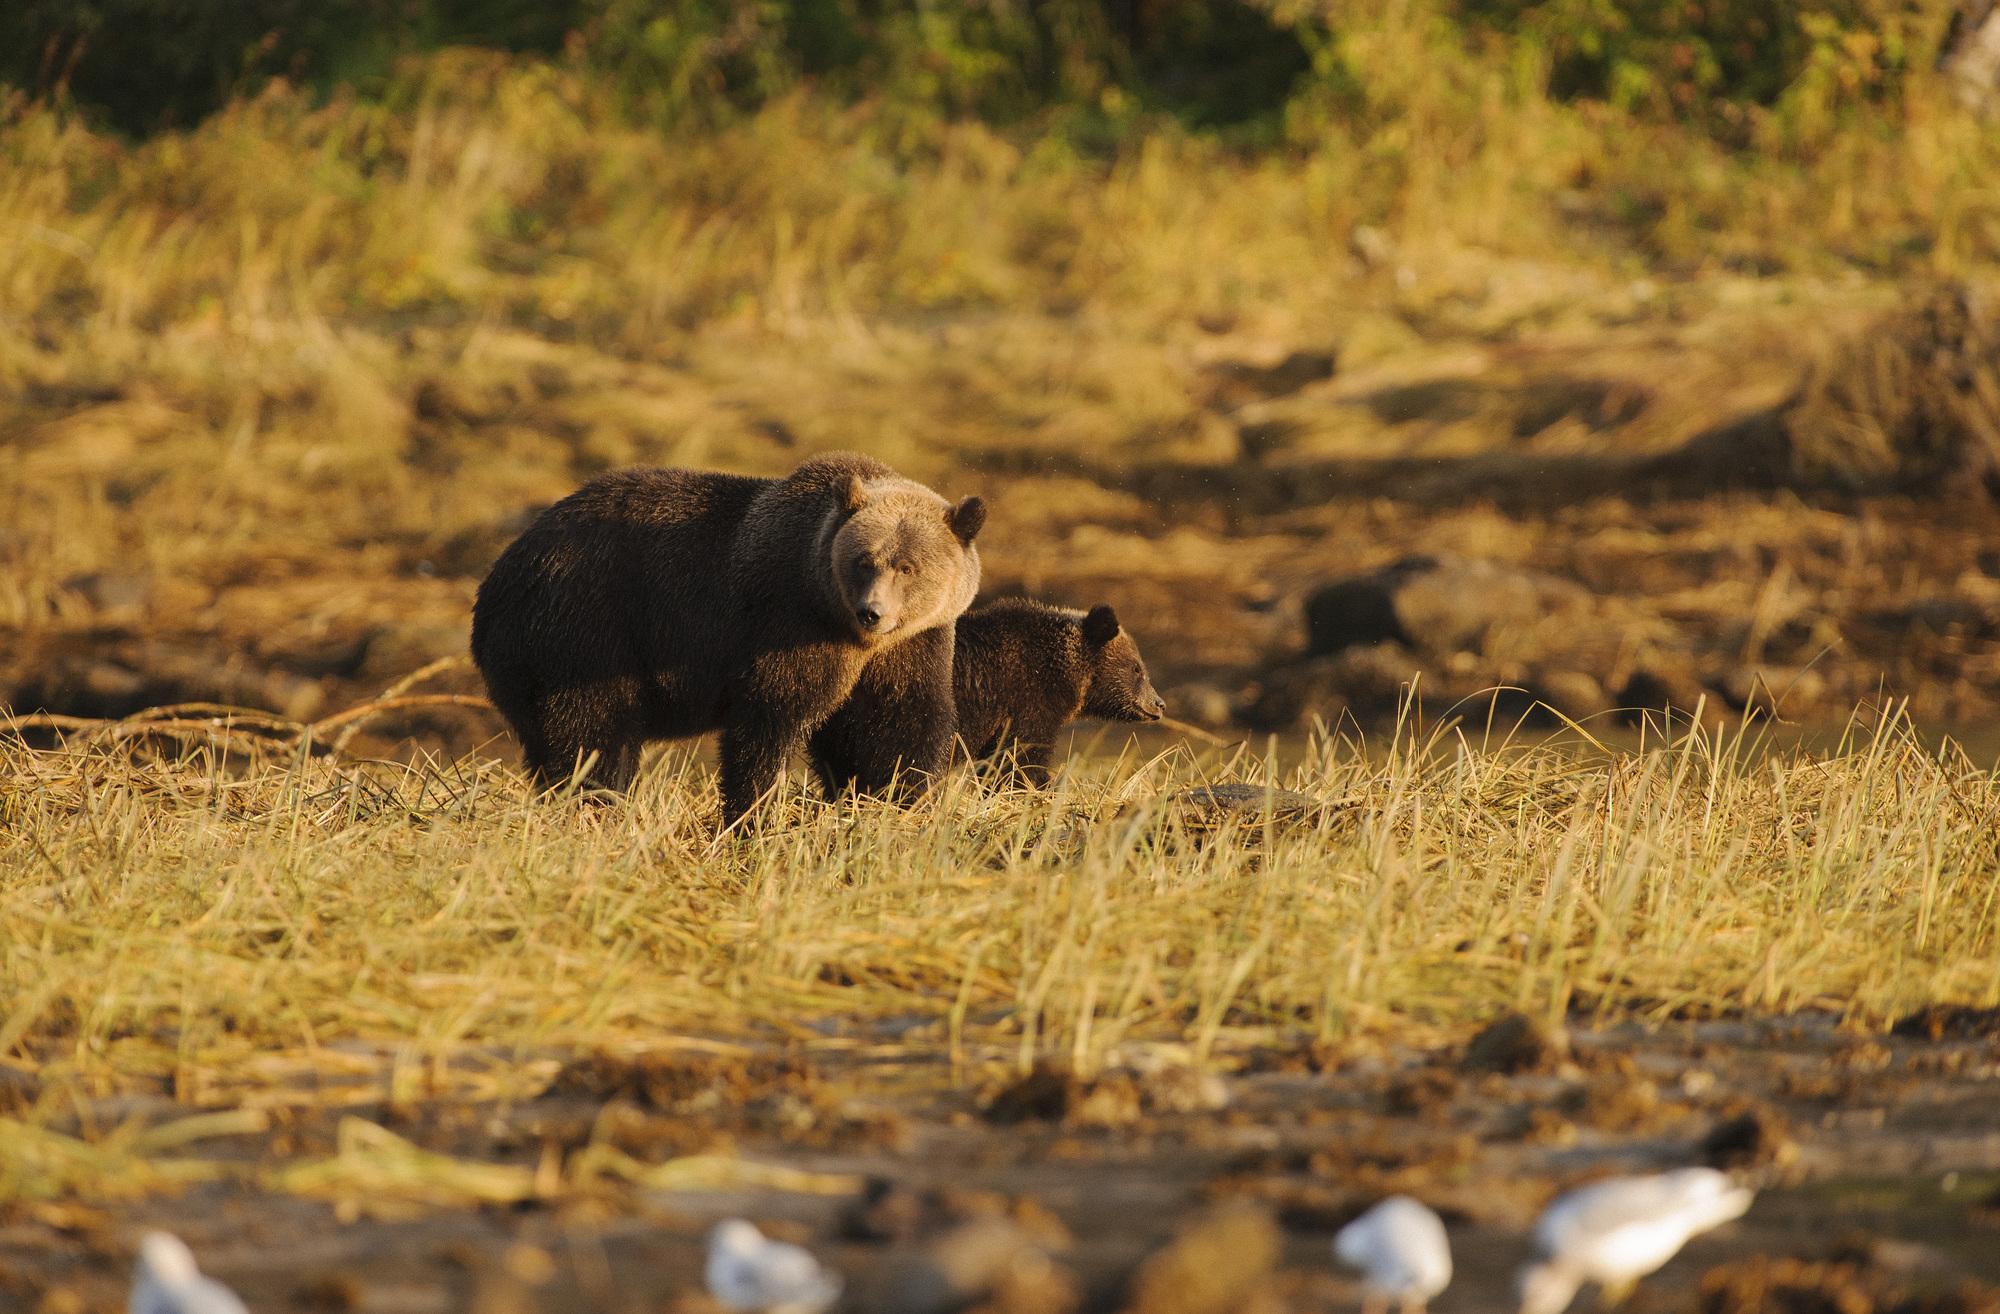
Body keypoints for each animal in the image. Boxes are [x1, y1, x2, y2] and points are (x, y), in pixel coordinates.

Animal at [469, 451, 985, 823]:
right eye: (864, 560)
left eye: (907, 567)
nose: (873, 612)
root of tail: (500, 573)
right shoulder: (787, 624)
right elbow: (769, 721)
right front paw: (753, 813)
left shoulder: (911, 645)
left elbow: (898, 723)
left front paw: (895, 799)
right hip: (584, 629)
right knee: (590, 735)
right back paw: (593, 806)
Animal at [809, 597, 1165, 794]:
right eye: (1137, 668)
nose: (1158, 703)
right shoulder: (1024, 700)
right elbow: (1020, 760)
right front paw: (1039, 790)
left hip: (836, 720)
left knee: (836, 764)